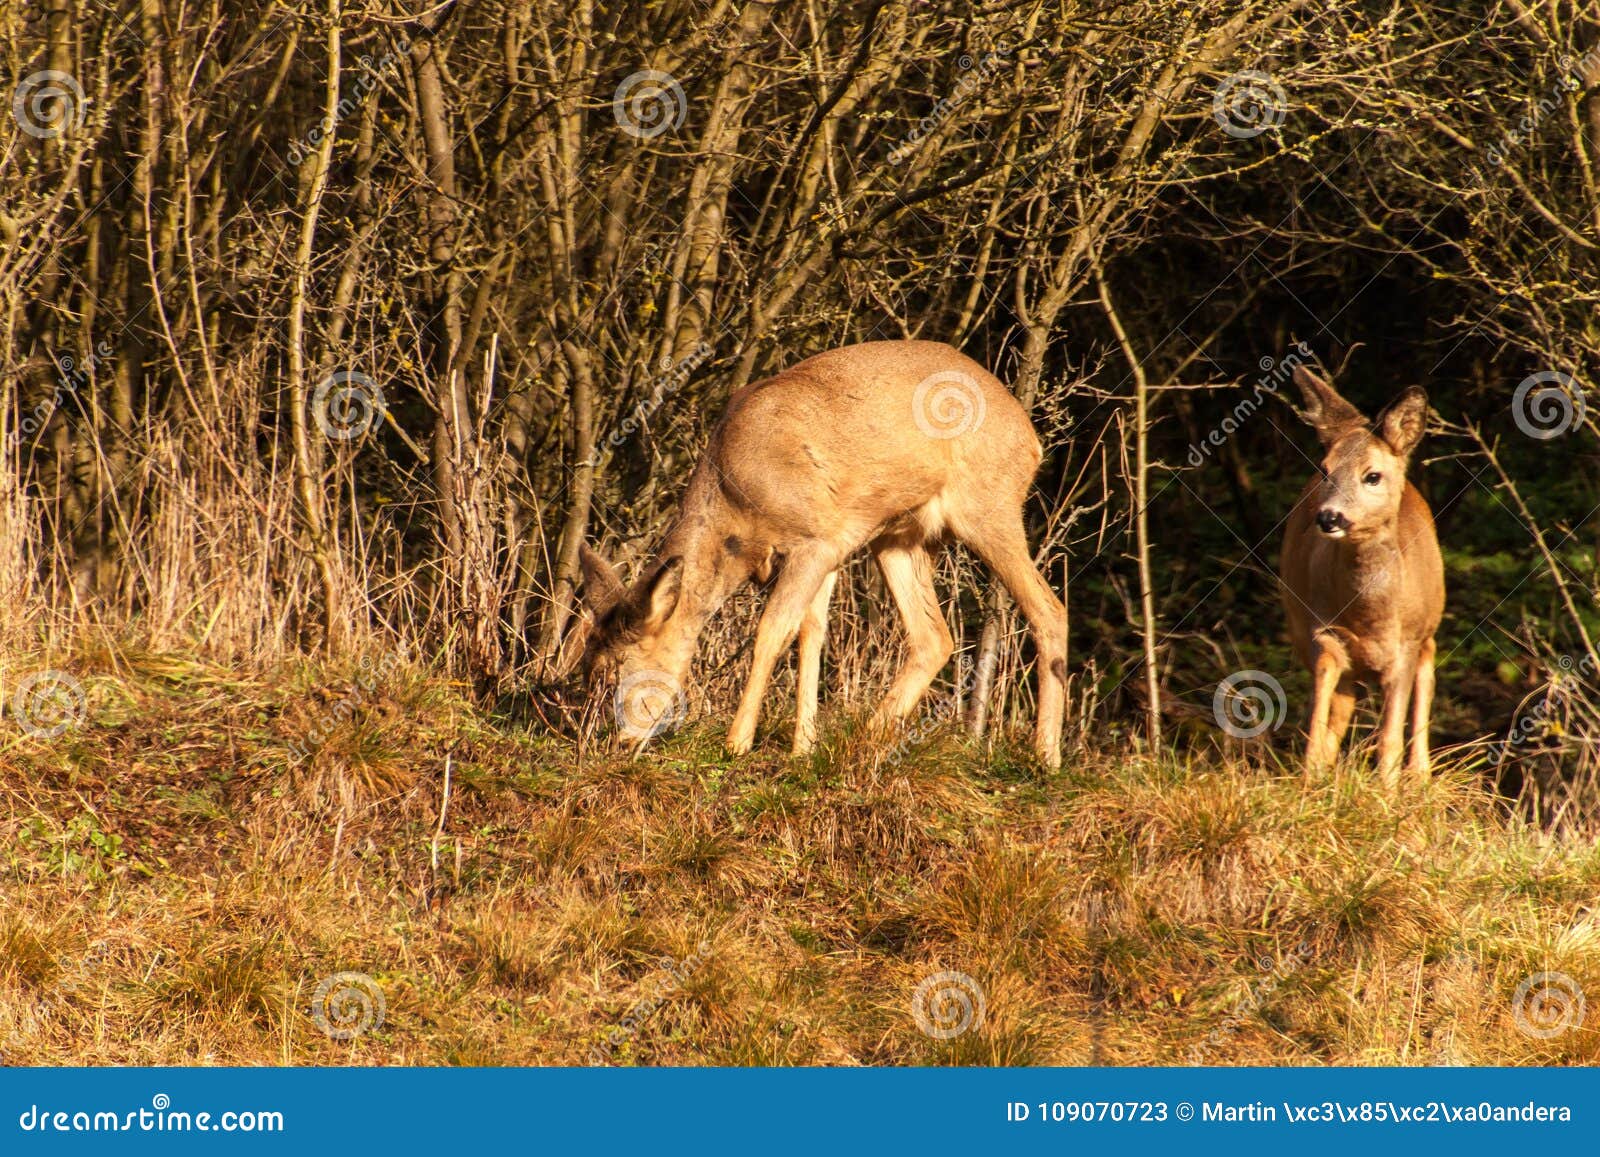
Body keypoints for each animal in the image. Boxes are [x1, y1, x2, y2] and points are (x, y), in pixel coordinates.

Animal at [559, 339, 1068, 767]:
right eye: (584, 670)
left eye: (613, 670)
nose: (613, 744)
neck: (735, 508)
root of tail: (1032, 438)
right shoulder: (833, 546)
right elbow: (811, 631)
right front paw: (804, 746)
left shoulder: (815, 539)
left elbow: (773, 628)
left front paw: (737, 742)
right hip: (896, 536)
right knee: (933, 635)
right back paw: (870, 735)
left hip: (988, 504)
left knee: (1049, 608)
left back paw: (1046, 755)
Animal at [1279, 364, 1445, 787]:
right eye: (1324, 470)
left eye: (1372, 476)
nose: (1329, 517)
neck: (1369, 615)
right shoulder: (1323, 634)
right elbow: (1319, 720)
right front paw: (1310, 778)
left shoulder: (1405, 646)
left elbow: (1390, 736)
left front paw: (1386, 792)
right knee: (1339, 710)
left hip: (1428, 632)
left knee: (1425, 684)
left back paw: (1420, 777)